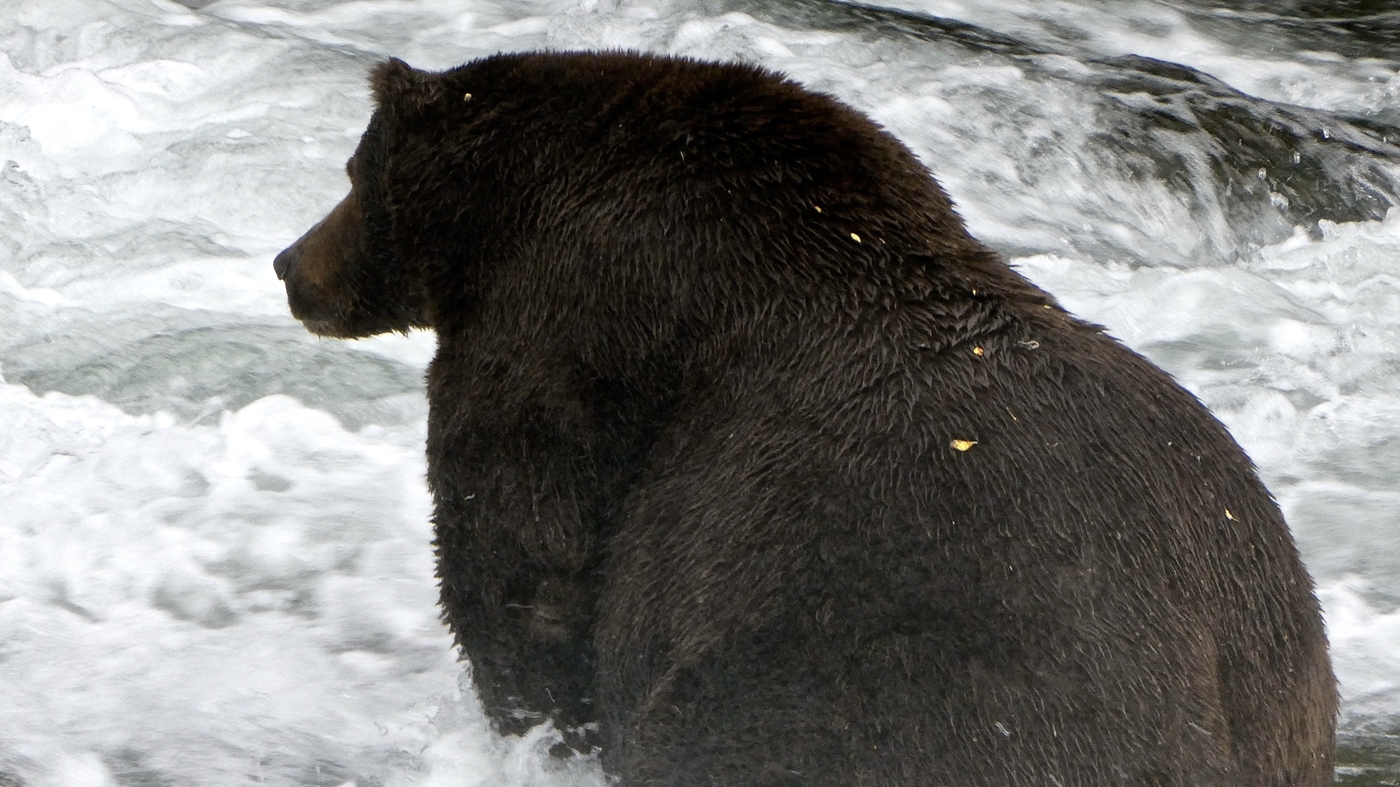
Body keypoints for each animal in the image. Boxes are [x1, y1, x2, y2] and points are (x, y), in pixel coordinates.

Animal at [273, 51, 1336, 786]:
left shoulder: (563, 338)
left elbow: (519, 561)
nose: (288, 264)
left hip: (895, 676)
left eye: (352, 172)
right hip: (1267, 653)